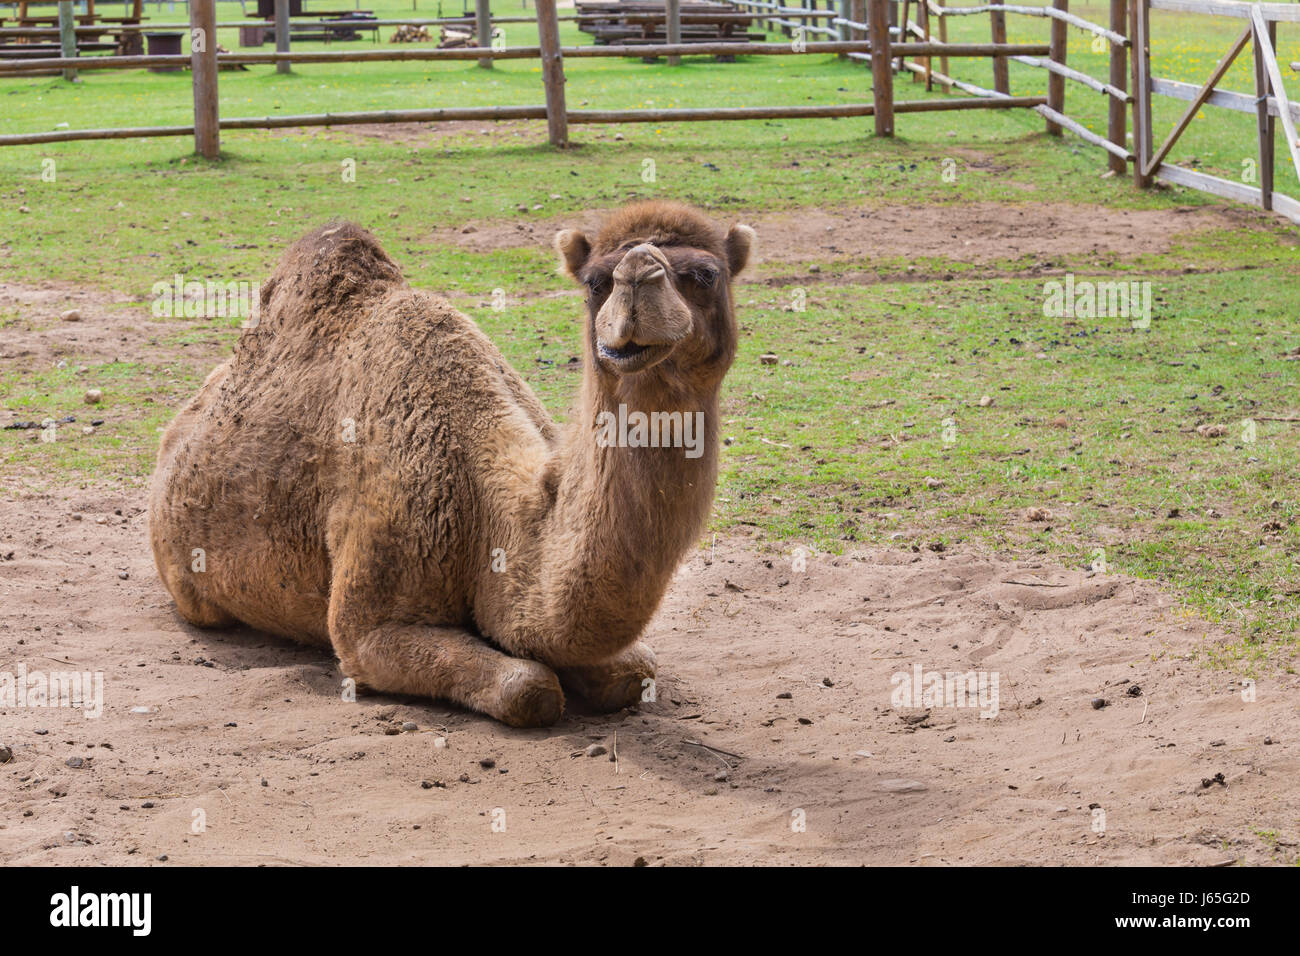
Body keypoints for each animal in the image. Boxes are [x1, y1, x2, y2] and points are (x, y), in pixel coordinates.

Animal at [148, 201, 754, 727]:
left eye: (706, 274)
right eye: (595, 282)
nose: (635, 281)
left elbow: (634, 668)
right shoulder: (368, 628)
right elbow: (528, 687)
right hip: (190, 588)